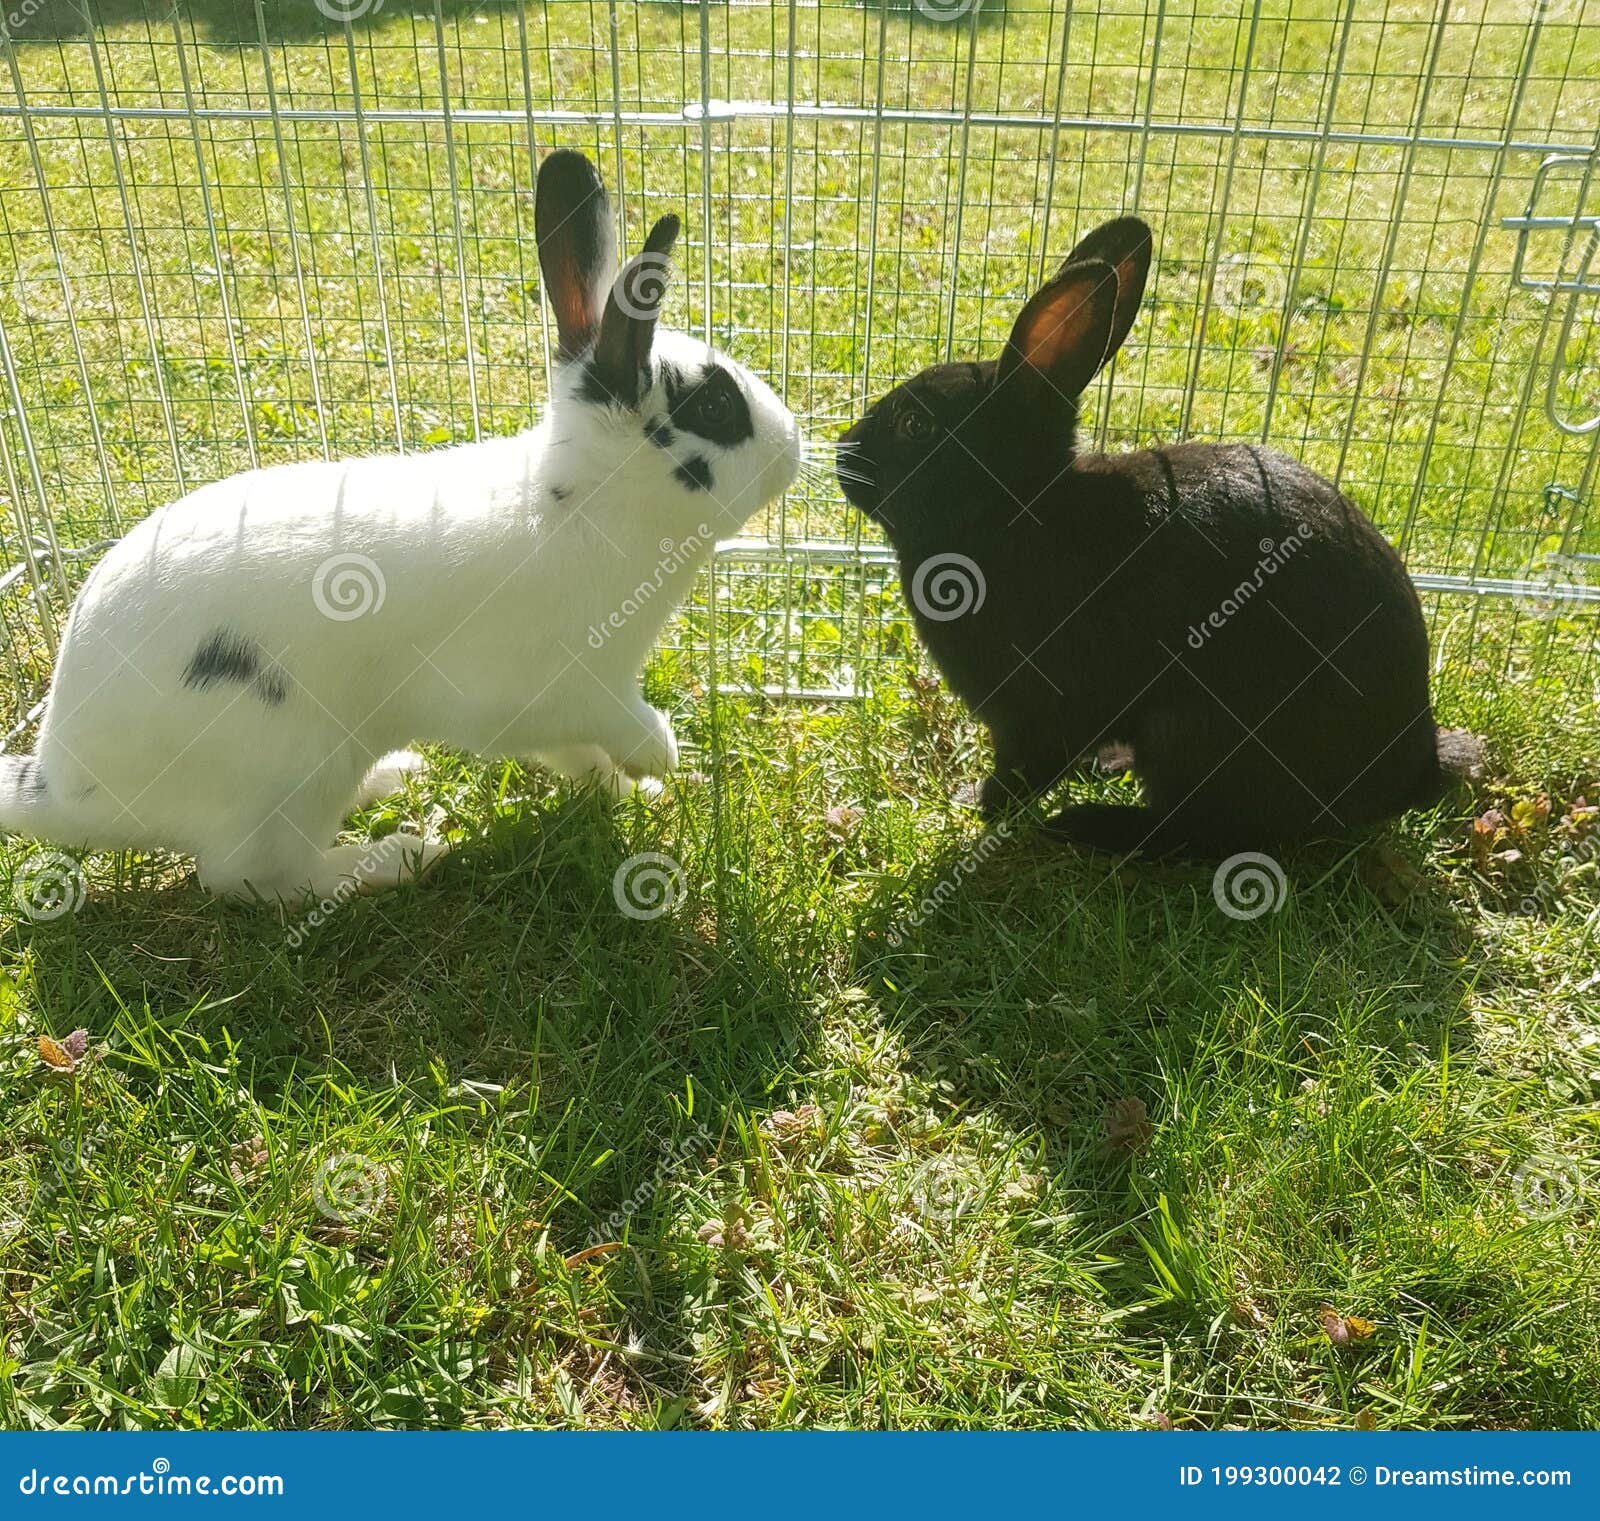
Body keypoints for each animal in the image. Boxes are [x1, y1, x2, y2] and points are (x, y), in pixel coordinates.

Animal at [0, 149, 801, 902]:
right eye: (716, 408)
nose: (793, 446)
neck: (585, 504)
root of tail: (64, 789)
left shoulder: (557, 713)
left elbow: (576, 754)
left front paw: (634, 788)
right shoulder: (568, 689)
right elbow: (623, 724)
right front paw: (661, 758)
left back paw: (395, 775)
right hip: (287, 774)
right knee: (252, 877)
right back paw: (400, 855)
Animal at [837, 216, 1480, 858]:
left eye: (916, 425)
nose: (844, 453)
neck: (1016, 511)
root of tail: (1408, 766)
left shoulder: (1037, 712)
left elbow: (1025, 768)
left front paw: (981, 803)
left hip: (1193, 730)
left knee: (1205, 832)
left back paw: (1093, 824)